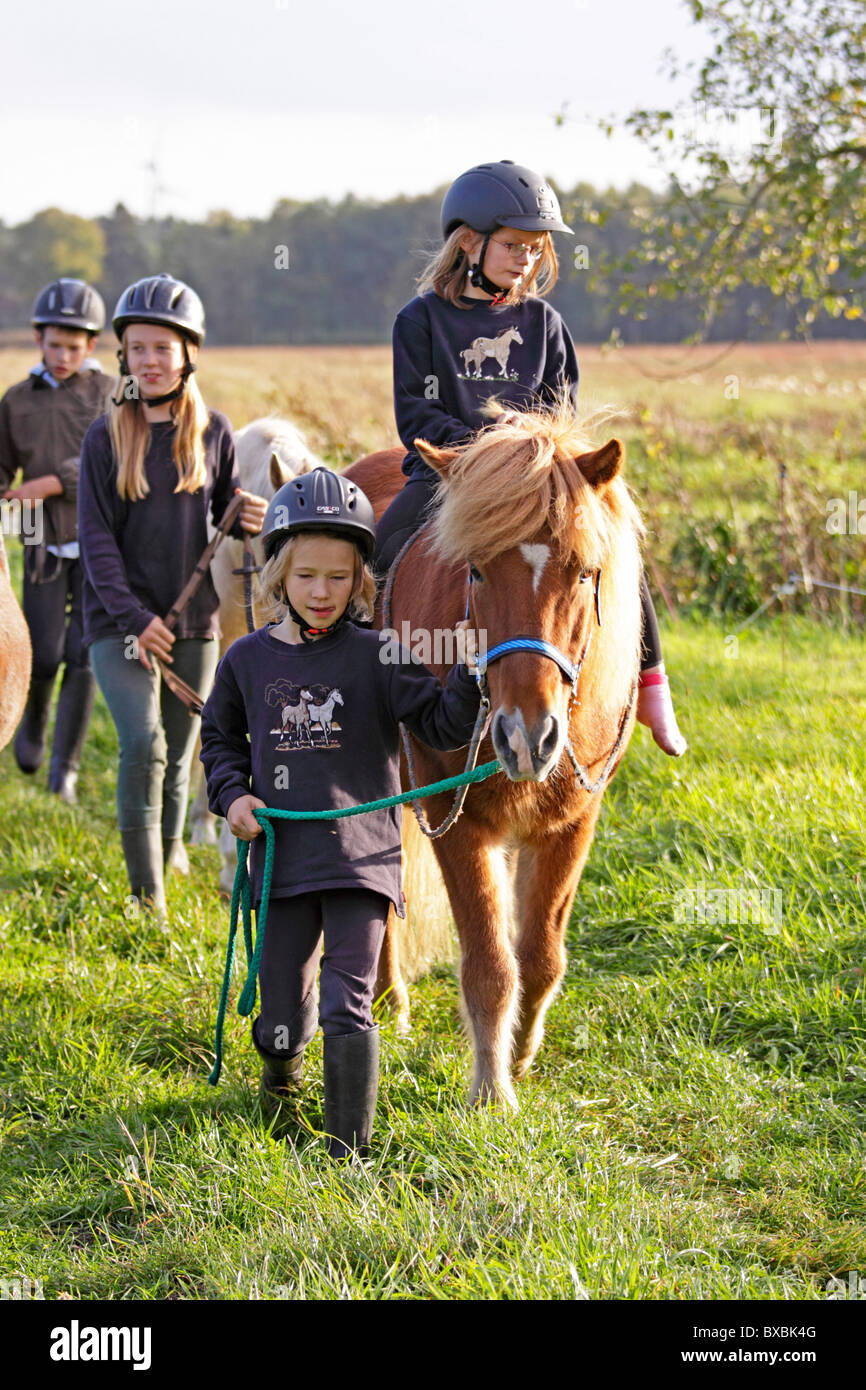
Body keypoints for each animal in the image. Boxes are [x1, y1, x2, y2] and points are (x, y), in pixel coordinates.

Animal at [345, 402, 644, 1107]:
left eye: (585, 572)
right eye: (476, 571)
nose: (526, 737)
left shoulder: (572, 822)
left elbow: (539, 956)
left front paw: (524, 1053)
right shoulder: (456, 819)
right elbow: (489, 963)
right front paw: (491, 1089)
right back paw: (389, 1002)